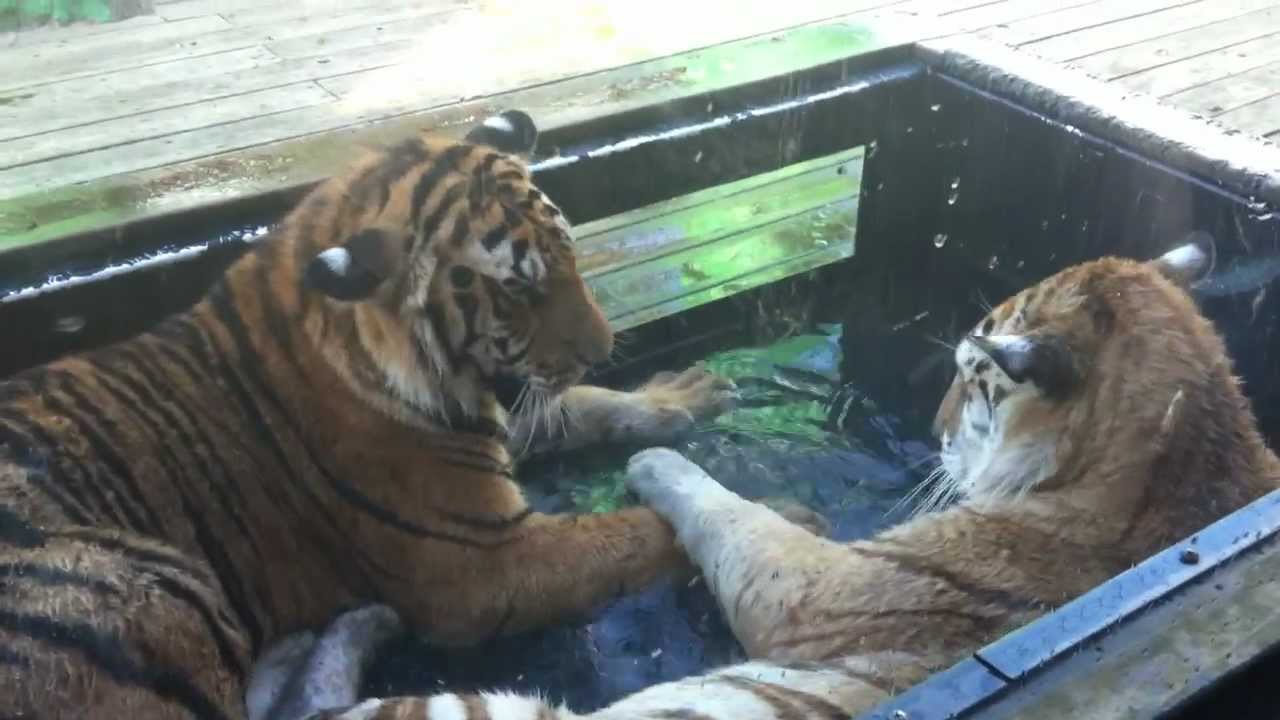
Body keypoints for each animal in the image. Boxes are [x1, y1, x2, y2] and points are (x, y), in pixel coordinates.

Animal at [0, 109, 743, 719]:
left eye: (570, 255)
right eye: (516, 290)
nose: (602, 349)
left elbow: (587, 407)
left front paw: (683, 395)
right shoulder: (485, 561)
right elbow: (631, 533)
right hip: (153, 590)